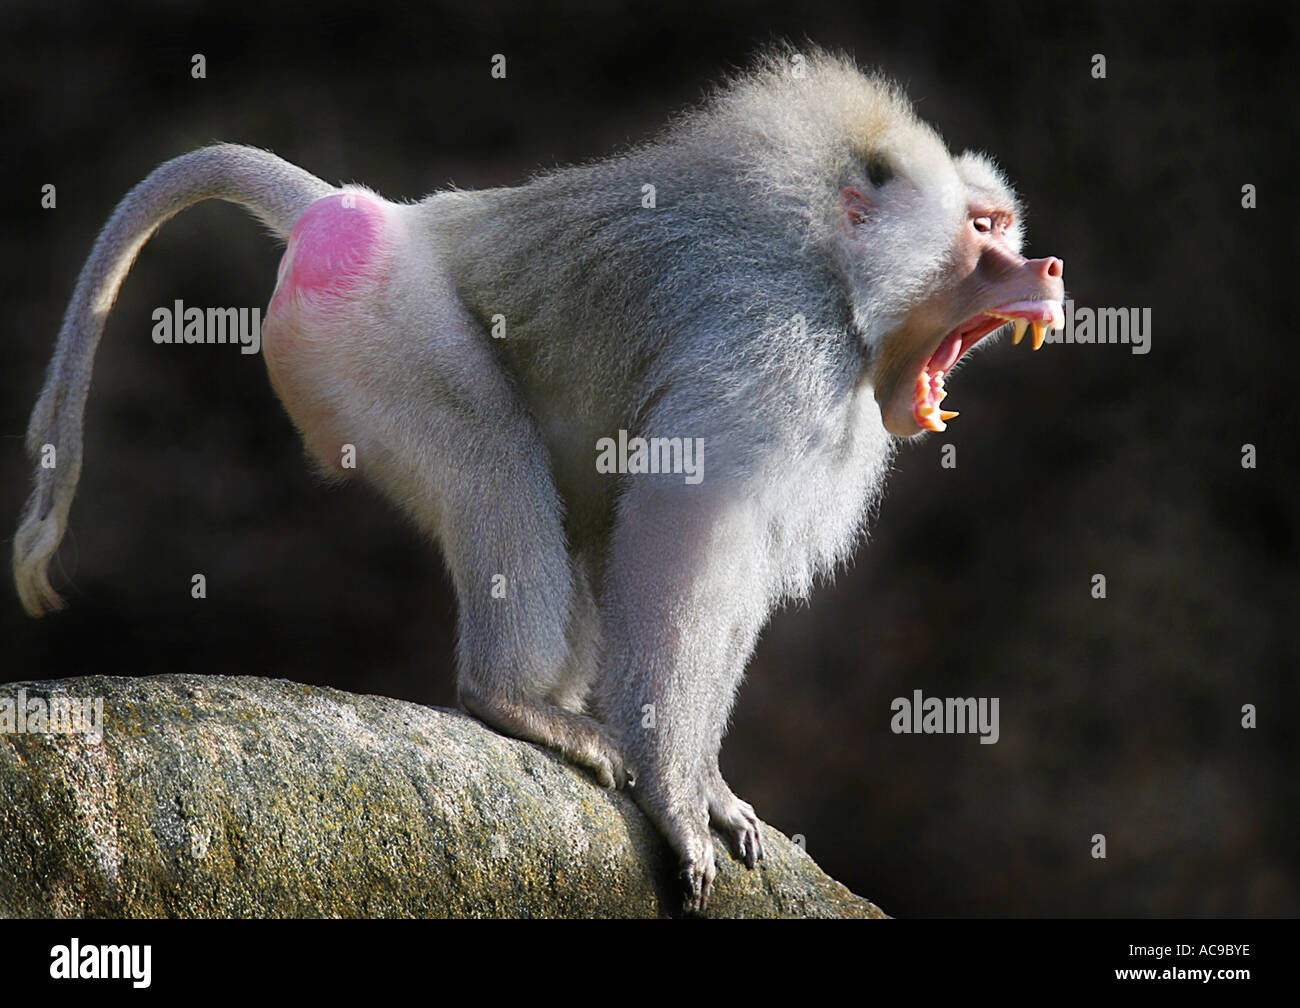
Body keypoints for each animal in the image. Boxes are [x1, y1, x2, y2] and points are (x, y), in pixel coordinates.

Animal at [13, 47, 1064, 913]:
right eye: (982, 231)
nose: (1045, 267)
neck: (834, 268)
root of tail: (354, 209)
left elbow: (726, 563)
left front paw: (708, 787)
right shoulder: (777, 346)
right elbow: (691, 534)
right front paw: (676, 793)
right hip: (374, 330)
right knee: (493, 462)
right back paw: (510, 700)